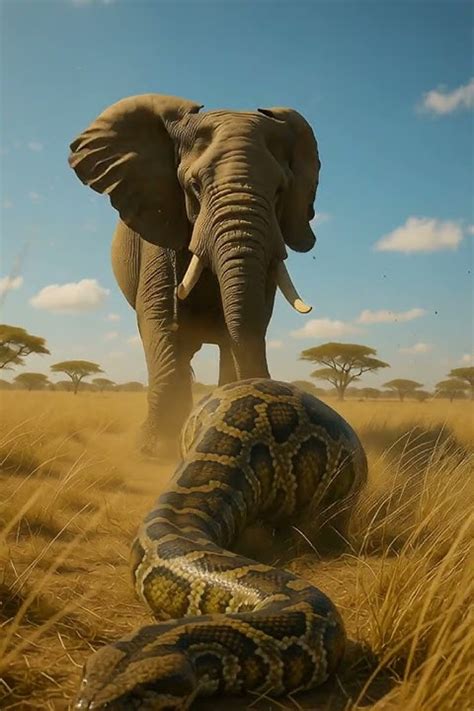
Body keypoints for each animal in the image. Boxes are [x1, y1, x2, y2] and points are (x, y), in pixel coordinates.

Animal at [68, 93, 320, 456]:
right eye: (194, 186)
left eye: (279, 191)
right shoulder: (157, 224)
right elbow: (158, 317)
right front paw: (155, 449)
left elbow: (250, 321)